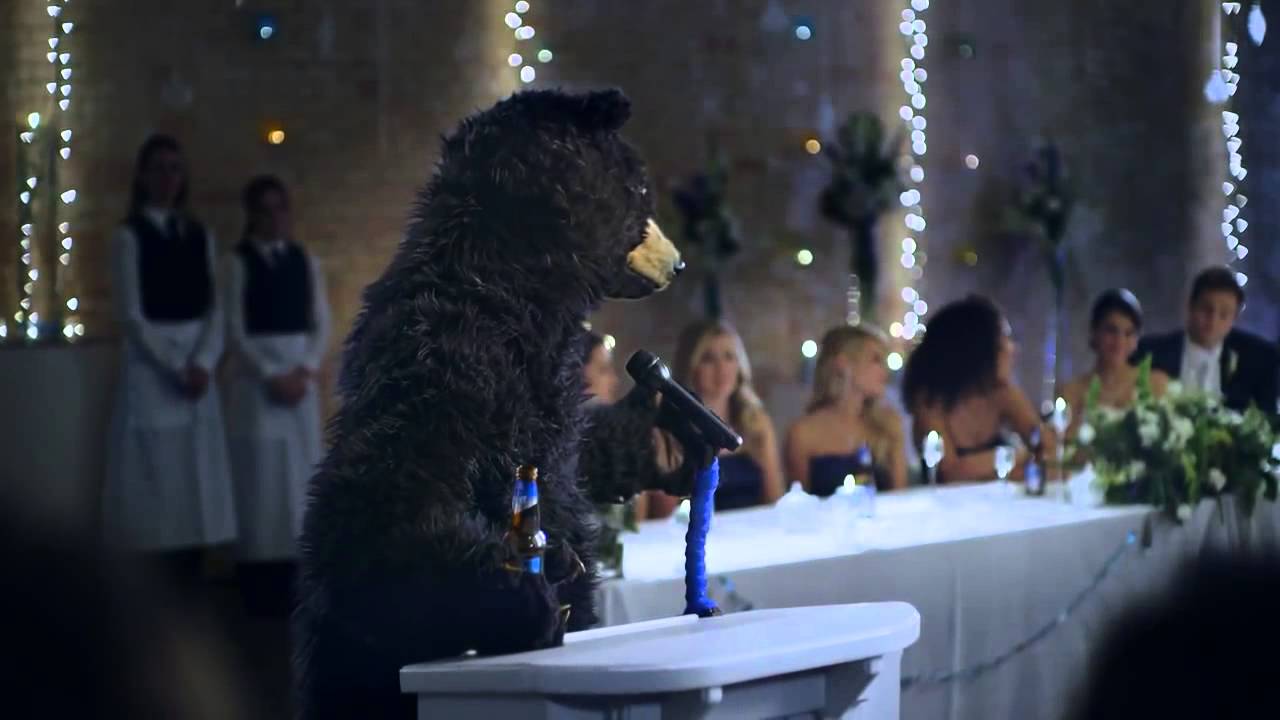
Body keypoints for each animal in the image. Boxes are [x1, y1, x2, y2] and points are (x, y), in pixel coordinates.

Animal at [294, 88, 711, 719]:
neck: (510, 279)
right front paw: (523, 599)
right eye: (641, 191)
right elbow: (393, 503)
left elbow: (577, 453)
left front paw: (662, 439)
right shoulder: (450, 366)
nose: (681, 262)